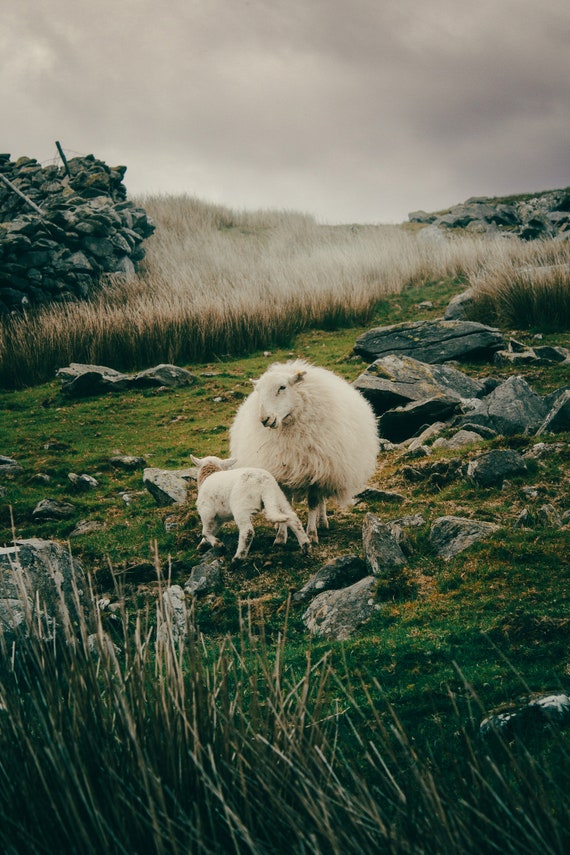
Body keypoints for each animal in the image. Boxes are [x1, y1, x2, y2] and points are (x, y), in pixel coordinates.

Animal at [229, 359, 379, 543]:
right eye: (258, 391)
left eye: (282, 387)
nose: (264, 419)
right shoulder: (281, 472)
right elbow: (285, 504)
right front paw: (281, 536)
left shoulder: (317, 472)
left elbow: (314, 502)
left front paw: (312, 534)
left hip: (327, 469)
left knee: (321, 500)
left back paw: (322, 522)